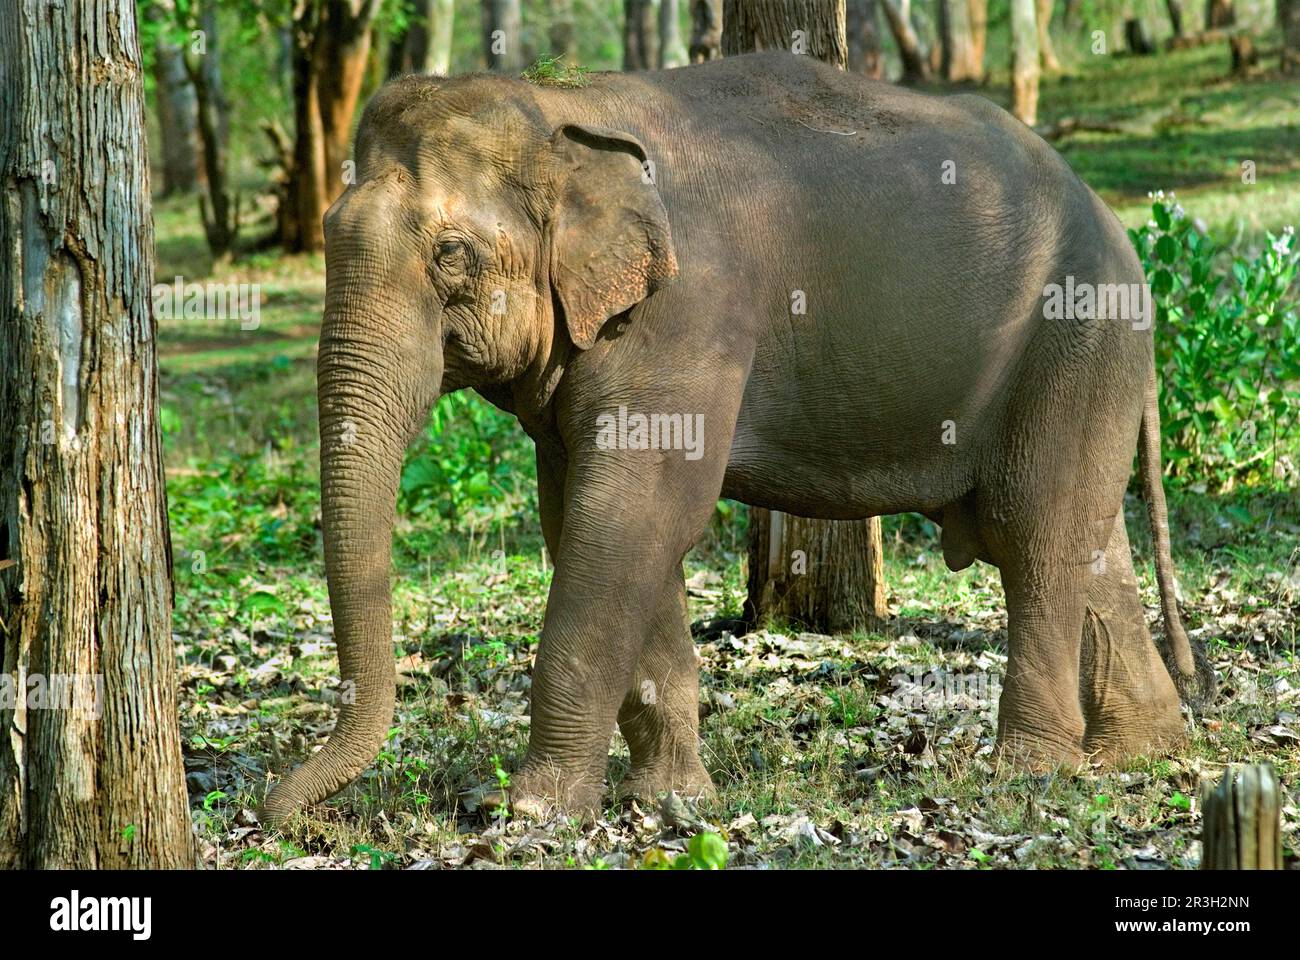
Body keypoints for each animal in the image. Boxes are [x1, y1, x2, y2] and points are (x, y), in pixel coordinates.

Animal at [260, 50, 1215, 825]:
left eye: (451, 256)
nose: (277, 814)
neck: (560, 103)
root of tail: (1126, 238)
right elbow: (586, 518)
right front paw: (668, 801)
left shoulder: (691, 314)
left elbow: (637, 515)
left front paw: (529, 811)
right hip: (1079, 362)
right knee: (1090, 537)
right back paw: (1139, 753)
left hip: (1072, 334)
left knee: (1035, 533)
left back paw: (1028, 772)